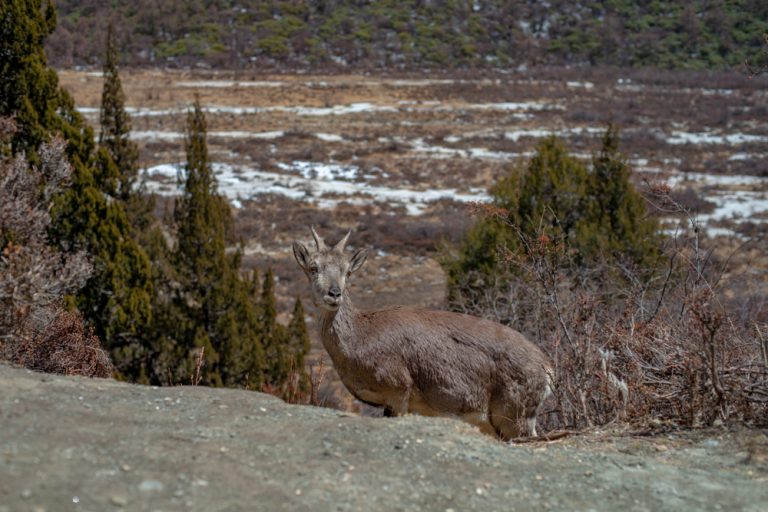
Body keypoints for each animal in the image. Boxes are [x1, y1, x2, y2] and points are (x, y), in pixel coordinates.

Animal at [292, 227, 554, 441]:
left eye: (347, 271)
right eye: (313, 267)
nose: (334, 293)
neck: (361, 337)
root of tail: (548, 368)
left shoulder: (398, 389)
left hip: (514, 413)